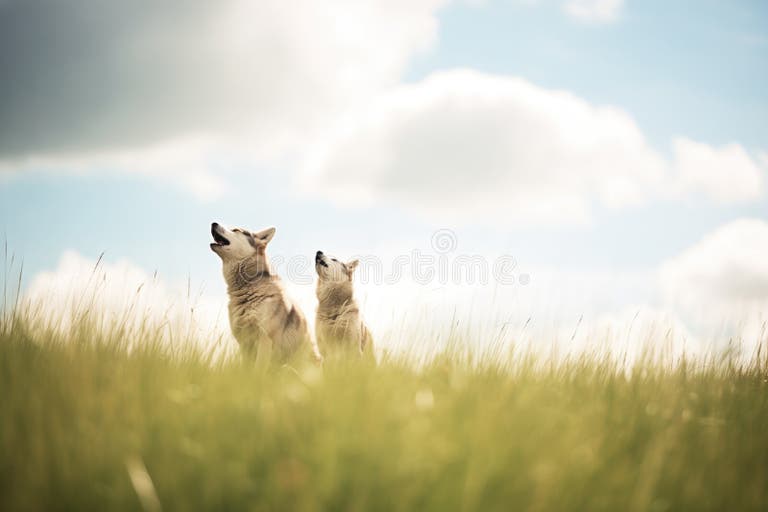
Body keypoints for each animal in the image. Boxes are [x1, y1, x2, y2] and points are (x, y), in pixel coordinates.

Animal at [210, 222, 320, 366]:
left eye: (235, 230)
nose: (213, 223)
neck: (249, 288)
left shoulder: (264, 339)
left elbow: (259, 368)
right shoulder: (244, 344)